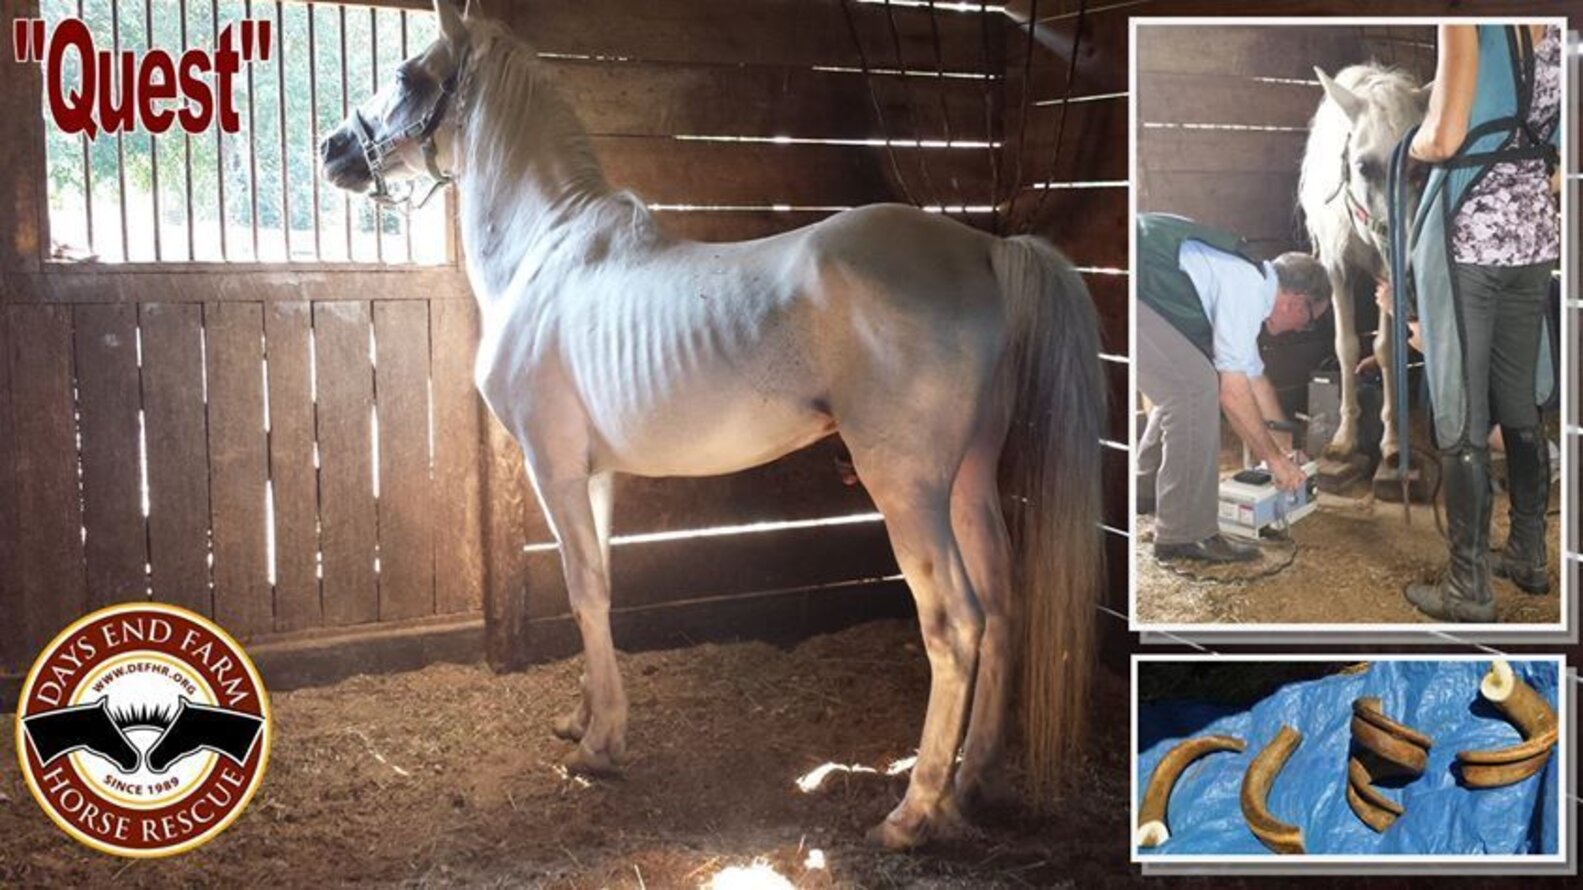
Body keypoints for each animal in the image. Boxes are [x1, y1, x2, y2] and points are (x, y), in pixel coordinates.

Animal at [318, 1, 1105, 849]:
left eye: (408, 75)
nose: (332, 149)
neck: (546, 250)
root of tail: (985, 249)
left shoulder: (551, 466)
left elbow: (582, 587)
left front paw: (600, 747)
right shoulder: (595, 475)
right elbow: (596, 585)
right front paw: (583, 719)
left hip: (907, 489)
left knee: (956, 625)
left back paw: (913, 810)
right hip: (969, 478)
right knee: (1001, 604)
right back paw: (974, 781)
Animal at [1298, 63, 1429, 472]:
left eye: (1420, 168)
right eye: (1362, 166)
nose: (1406, 257)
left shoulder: (1386, 273)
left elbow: (1386, 349)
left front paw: (1392, 442)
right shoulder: (1337, 268)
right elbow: (1347, 347)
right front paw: (1344, 439)